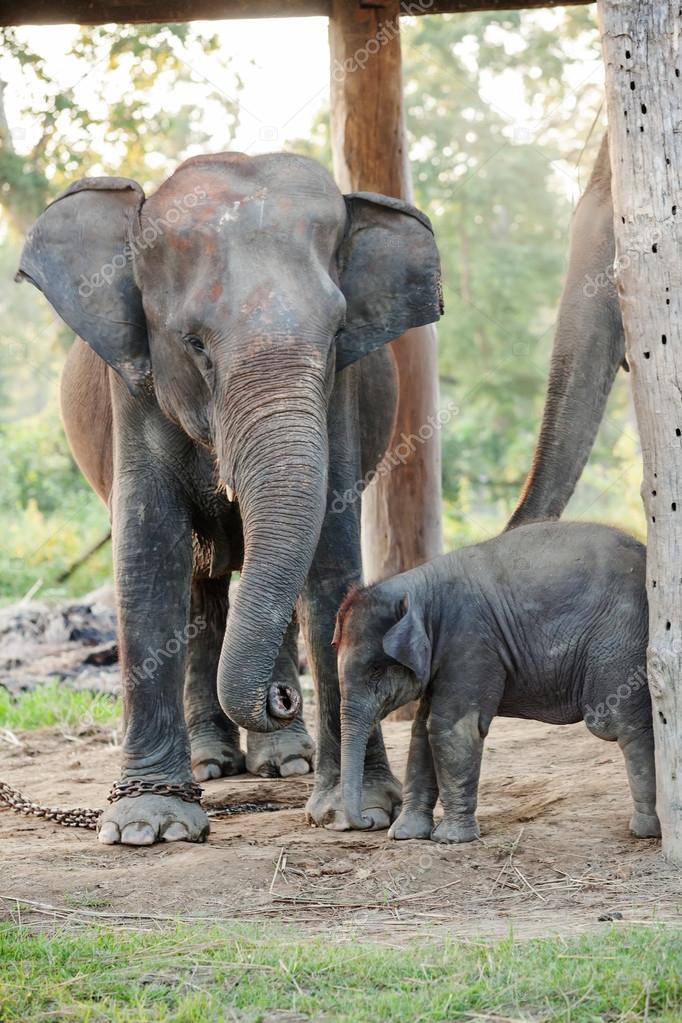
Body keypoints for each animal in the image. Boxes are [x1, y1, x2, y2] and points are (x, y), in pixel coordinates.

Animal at [16, 151, 442, 845]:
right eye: (194, 344)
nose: (282, 701)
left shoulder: (342, 391)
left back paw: (284, 761)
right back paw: (210, 765)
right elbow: (148, 546)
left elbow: (331, 552)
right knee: (199, 581)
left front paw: (358, 815)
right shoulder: (132, 385)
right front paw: (148, 826)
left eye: (337, 334)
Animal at [334, 521, 660, 842]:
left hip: (621, 642)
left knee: (622, 725)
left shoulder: (470, 643)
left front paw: (451, 839)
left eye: (376, 669)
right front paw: (405, 834)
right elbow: (422, 729)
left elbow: (451, 728)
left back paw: (646, 830)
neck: (418, 588)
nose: (368, 820)